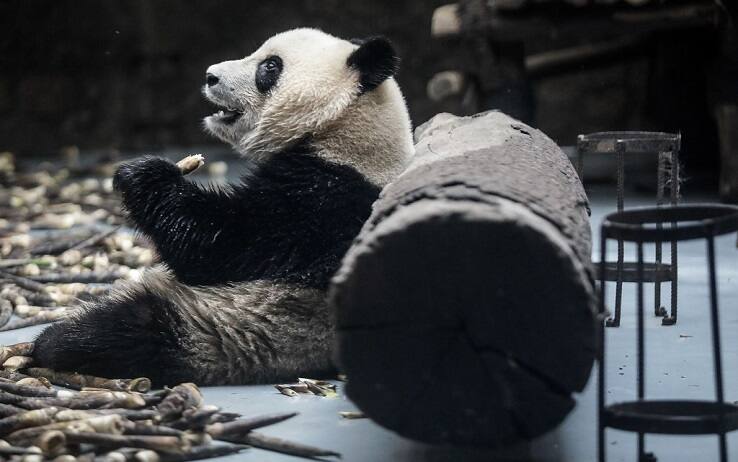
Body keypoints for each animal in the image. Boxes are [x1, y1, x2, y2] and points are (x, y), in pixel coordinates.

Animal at [32, 28, 414, 386]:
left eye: (270, 67)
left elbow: (225, 247)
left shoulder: (325, 203)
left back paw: (54, 340)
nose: (210, 76)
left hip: (242, 325)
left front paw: (143, 173)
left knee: (133, 332)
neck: (343, 132)